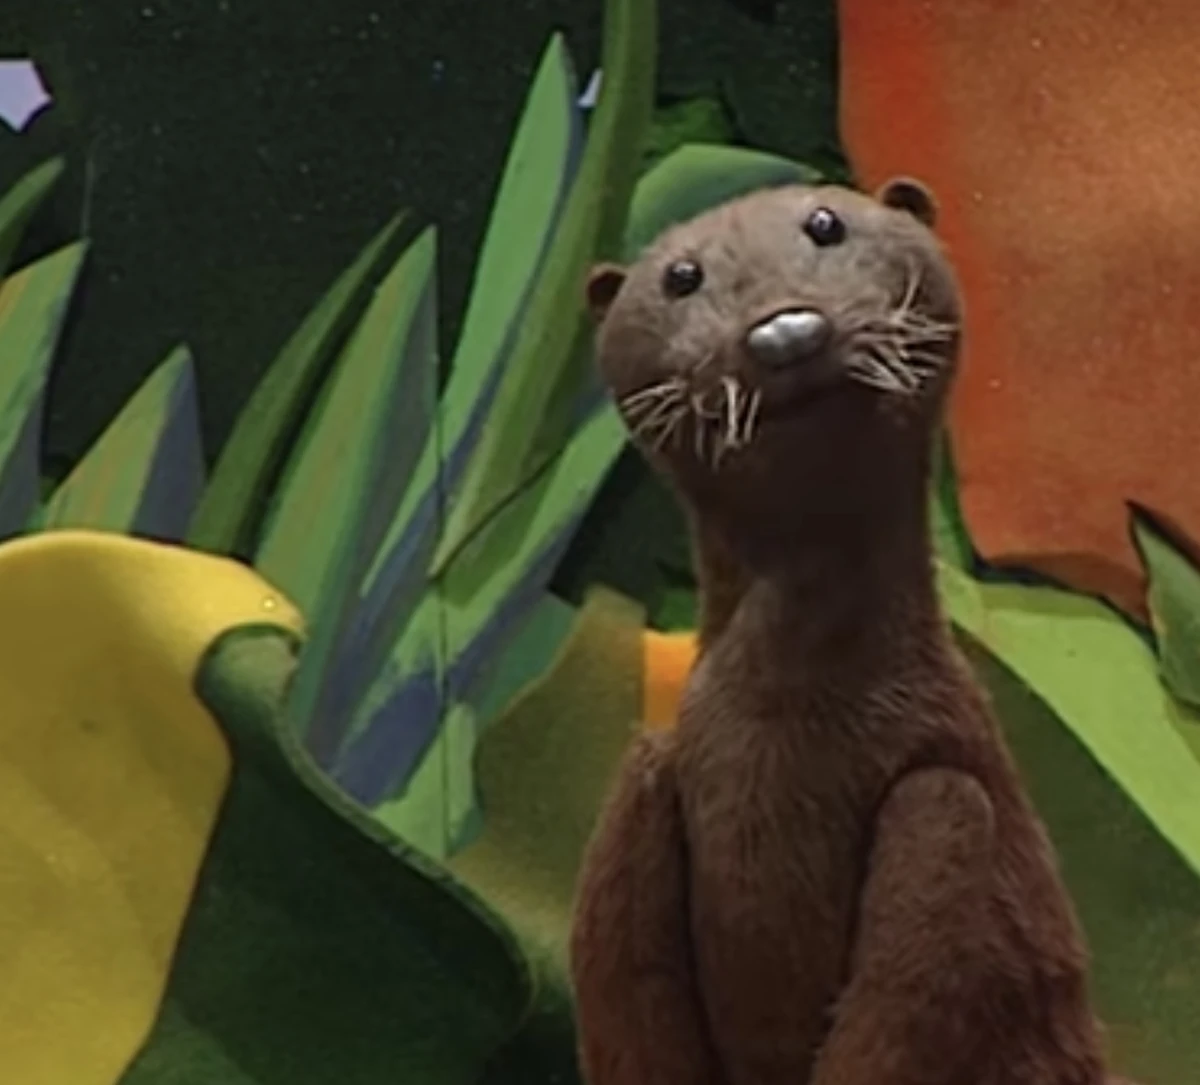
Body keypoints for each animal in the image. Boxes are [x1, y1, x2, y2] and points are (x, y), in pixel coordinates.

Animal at [568, 179, 1122, 1085]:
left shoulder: (948, 816)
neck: (783, 721)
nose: (786, 329)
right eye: (682, 275)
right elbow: (628, 1007)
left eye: (826, 223)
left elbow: (895, 1021)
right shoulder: (636, 796)